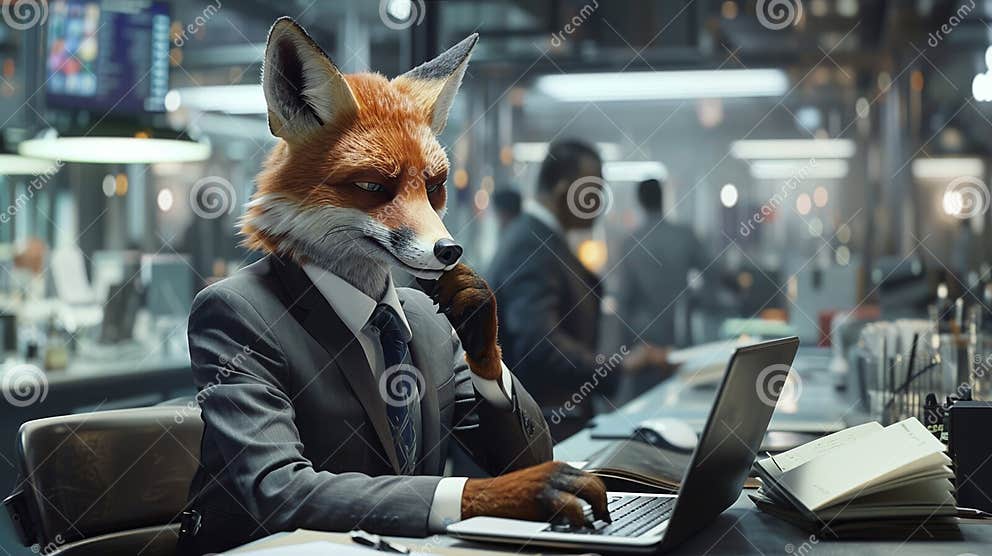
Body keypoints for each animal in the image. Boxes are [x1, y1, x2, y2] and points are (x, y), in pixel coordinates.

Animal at [237, 18, 609, 531]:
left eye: (434, 188)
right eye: (373, 186)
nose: (450, 251)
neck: (371, 306)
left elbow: (527, 442)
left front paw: (475, 309)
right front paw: (536, 487)